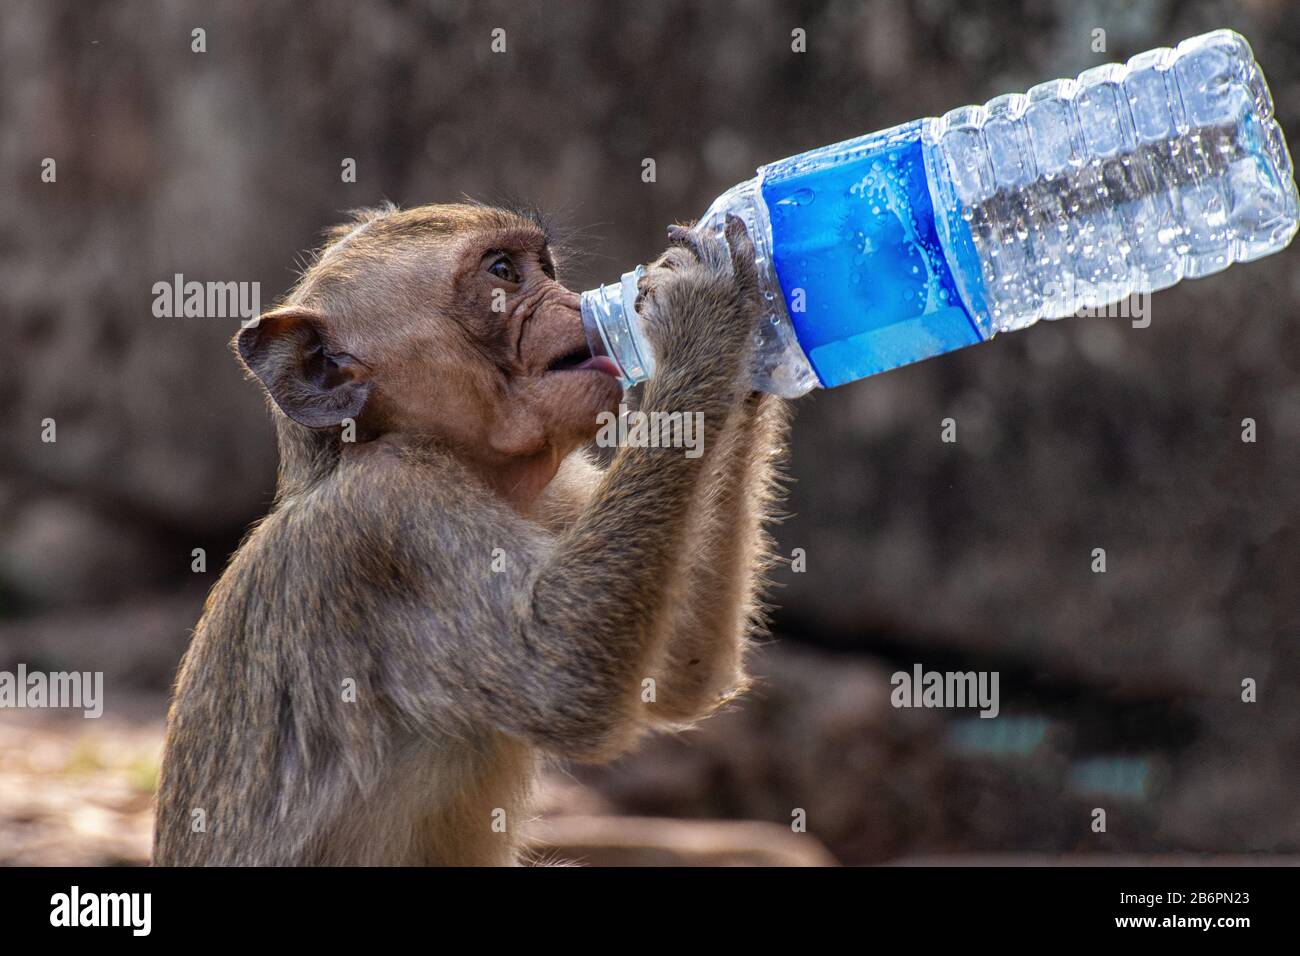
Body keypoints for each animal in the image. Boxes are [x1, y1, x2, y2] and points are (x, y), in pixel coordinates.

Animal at [152, 201, 790, 865]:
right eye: (503, 272)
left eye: (544, 268)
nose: (573, 302)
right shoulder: (390, 518)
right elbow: (564, 674)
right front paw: (703, 310)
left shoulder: (556, 489)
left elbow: (680, 673)